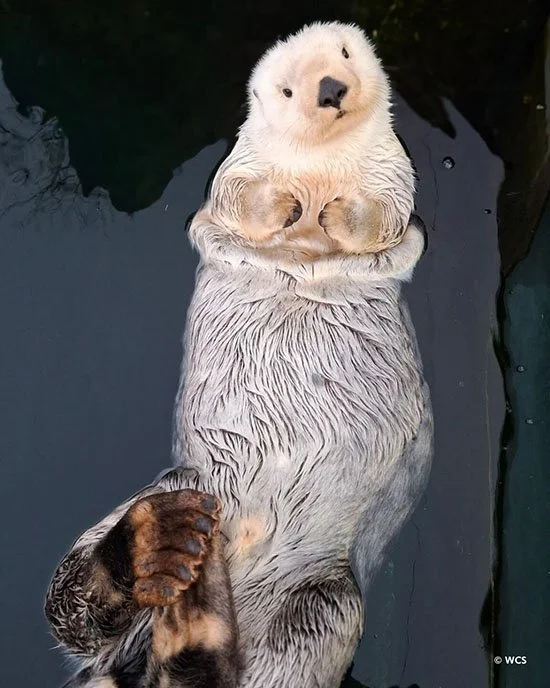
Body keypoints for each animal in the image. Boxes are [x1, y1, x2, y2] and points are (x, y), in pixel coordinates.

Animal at [45, 21, 433, 688]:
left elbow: (382, 213)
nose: (330, 89)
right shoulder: (238, 166)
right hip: (181, 484)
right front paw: (286, 206)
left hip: (319, 603)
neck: (318, 168)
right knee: (69, 603)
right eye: (287, 89)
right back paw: (154, 549)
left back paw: (194, 631)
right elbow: (237, 199)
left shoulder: (393, 170)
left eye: (345, 54)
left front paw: (337, 212)